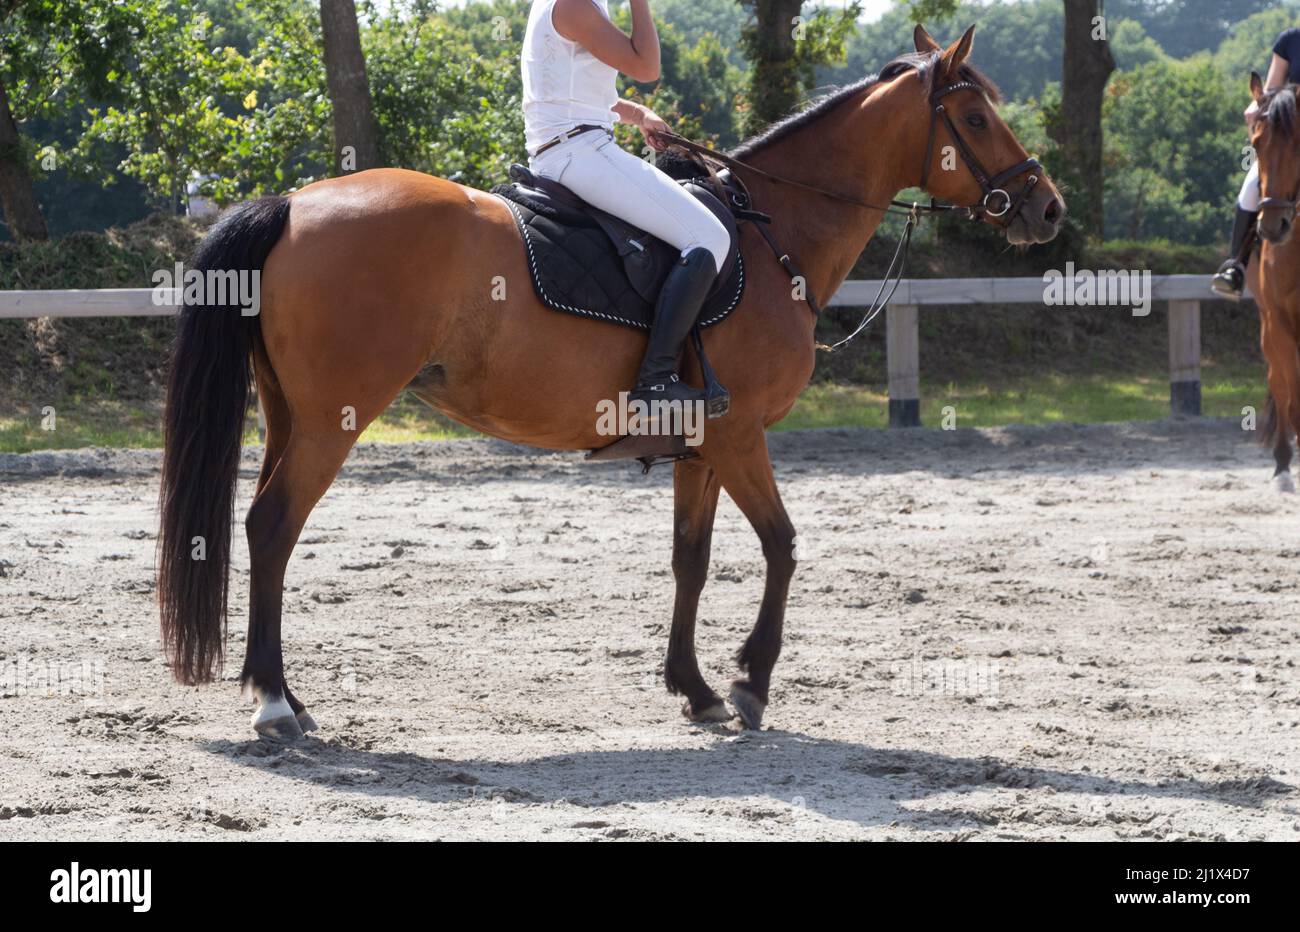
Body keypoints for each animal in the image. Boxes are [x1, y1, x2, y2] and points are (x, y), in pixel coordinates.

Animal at [157, 24, 1065, 739]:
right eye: (975, 117)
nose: (1047, 208)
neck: (774, 235)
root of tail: (294, 204)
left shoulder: (702, 446)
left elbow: (691, 558)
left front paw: (695, 690)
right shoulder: (741, 434)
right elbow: (782, 545)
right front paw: (750, 682)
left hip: (290, 414)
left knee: (261, 526)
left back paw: (285, 696)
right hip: (333, 420)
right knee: (273, 526)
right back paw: (277, 704)